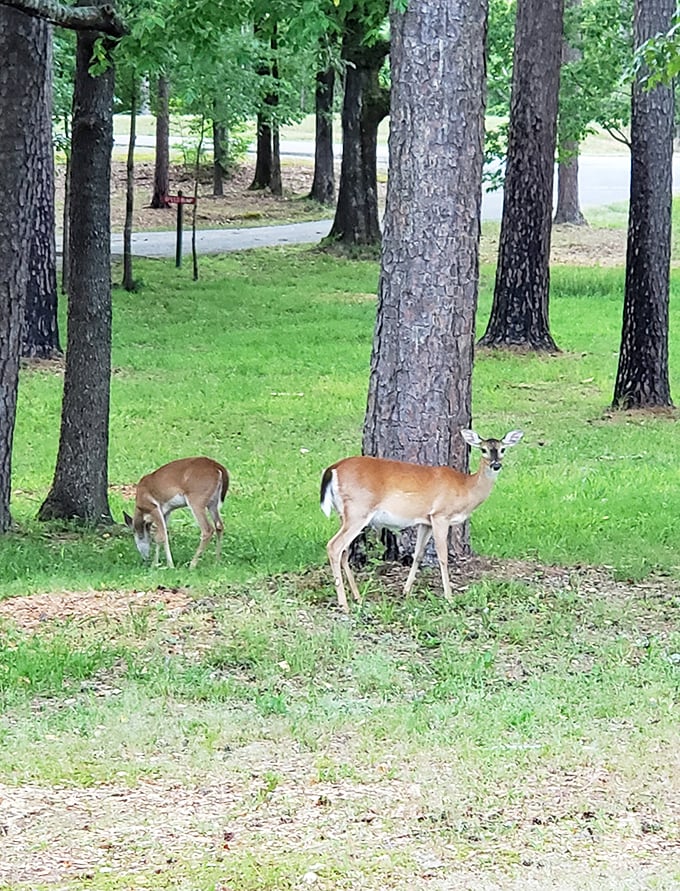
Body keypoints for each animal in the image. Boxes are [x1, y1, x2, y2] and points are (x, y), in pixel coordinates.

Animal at [320, 429, 523, 611]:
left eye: (502, 449)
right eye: (483, 449)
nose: (496, 465)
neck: (465, 488)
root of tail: (333, 469)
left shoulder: (425, 521)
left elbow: (418, 554)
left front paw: (406, 591)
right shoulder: (440, 515)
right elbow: (442, 556)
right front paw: (449, 597)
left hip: (346, 515)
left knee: (344, 551)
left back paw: (358, 597)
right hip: (358, 511)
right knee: (334, 546)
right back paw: (344, 604)